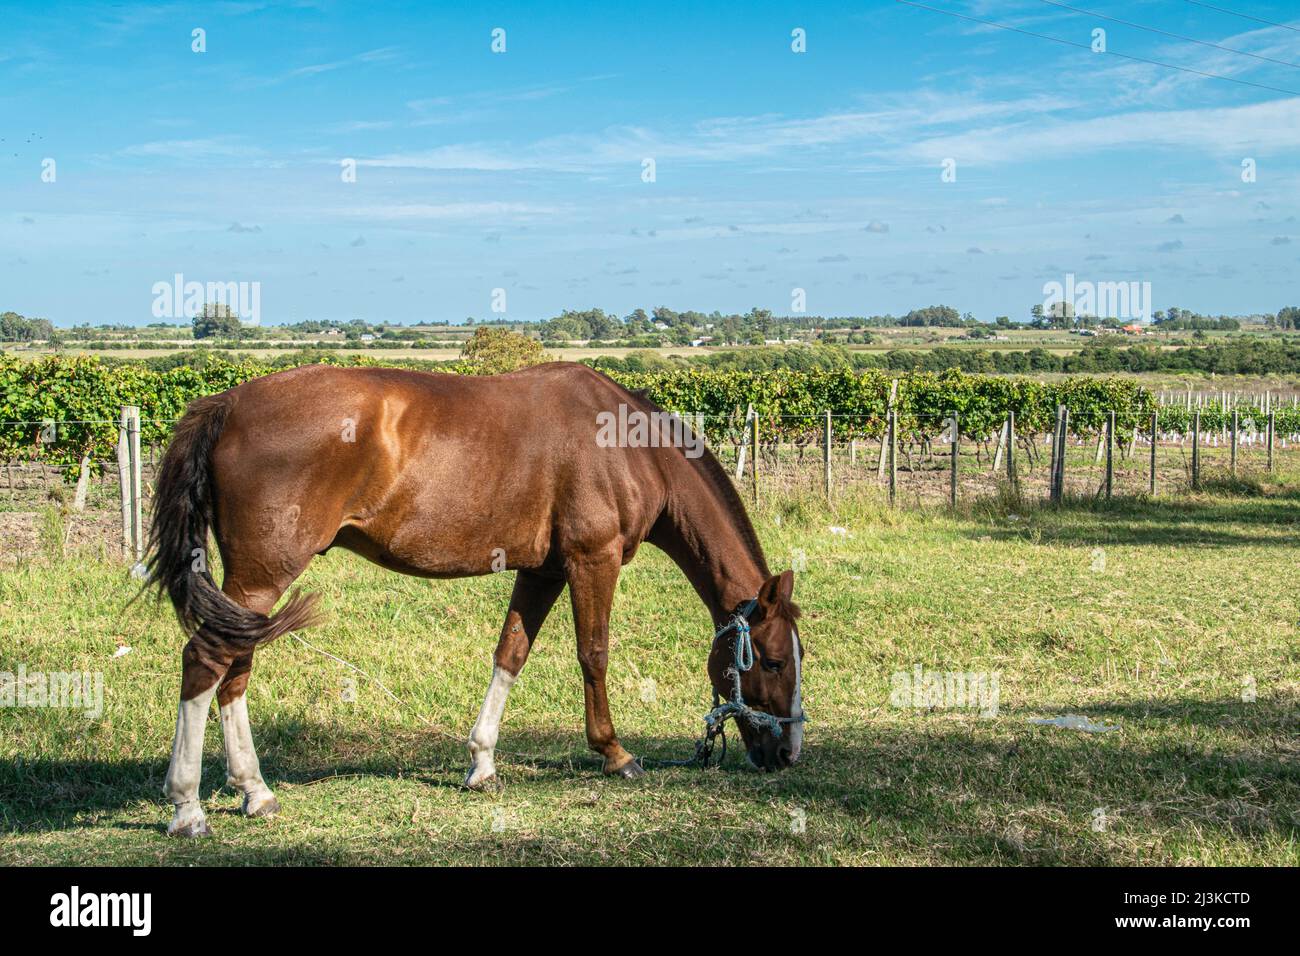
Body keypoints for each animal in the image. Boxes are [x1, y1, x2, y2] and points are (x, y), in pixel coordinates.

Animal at [146, 361, 804, 837]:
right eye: (773, 661)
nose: (788, 752)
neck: (626, 446)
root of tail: (228, 405)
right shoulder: (592, 561)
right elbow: (593, 654)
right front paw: (615, 753)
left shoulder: (543, 571)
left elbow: (510, 653)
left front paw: (482, 764)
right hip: (264, 575)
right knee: (204, 661)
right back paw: (187, 807)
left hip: (253, 586)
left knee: (234, 669)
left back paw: (254, 792)